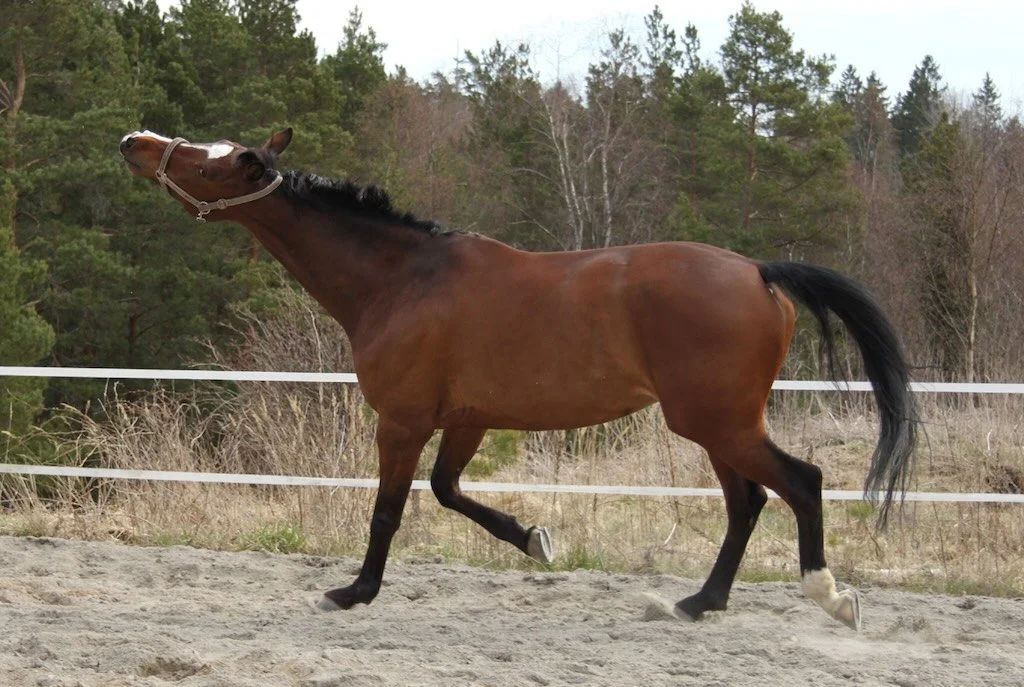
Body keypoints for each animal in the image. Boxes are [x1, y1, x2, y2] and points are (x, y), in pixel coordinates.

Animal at [119, 127, 917, 630]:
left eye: (209, 163)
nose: (136, 142)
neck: (401, 280)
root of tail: (759, 272)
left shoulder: (402, 420)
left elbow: (388, 511)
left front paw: (353, 592)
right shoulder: (466, 419)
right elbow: (449, 492)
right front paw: (535, 538)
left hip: (716, 421)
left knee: (800, 482)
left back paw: (827, 596)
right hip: (719, 425)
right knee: (747, 502)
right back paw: (695, 602)